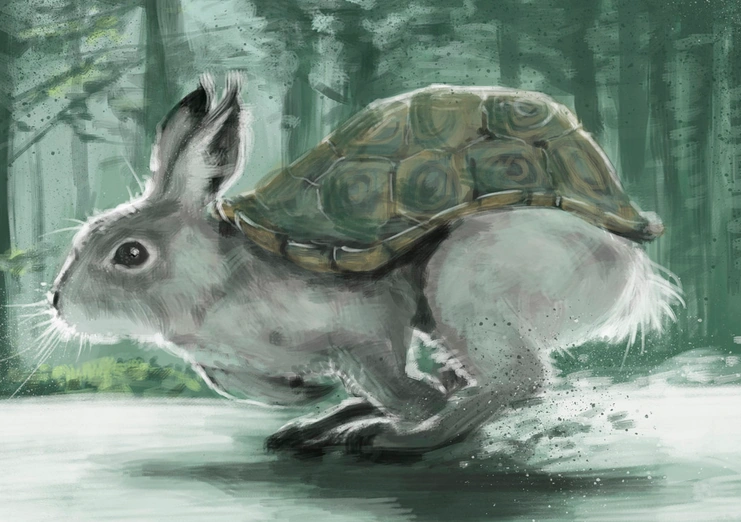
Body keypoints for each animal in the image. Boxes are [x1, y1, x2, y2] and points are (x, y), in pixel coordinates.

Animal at [49, 75, 681, 456]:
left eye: (131, 255)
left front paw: (409, 409)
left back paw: (401, 436)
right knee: (482, 377)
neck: (221, 278)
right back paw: (318, 425)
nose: (57, 301)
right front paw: (302, 399)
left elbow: (389, 377)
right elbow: (236, 381)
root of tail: (627, 252)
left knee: (518, 380)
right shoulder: (227, 363)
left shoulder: (370, 322)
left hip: (467, 277)